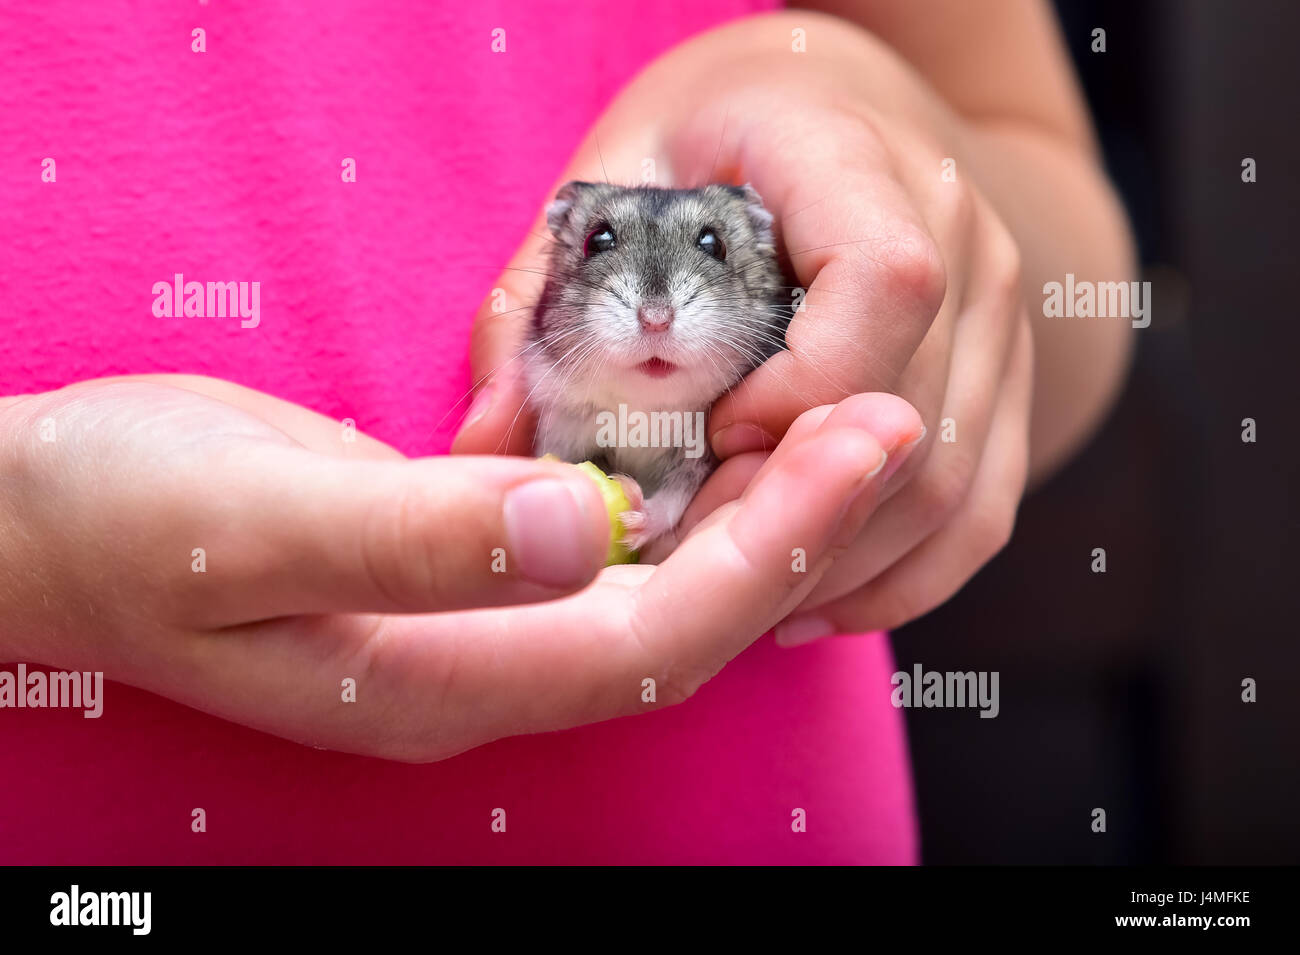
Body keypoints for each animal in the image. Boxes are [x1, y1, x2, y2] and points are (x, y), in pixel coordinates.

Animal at [525, 182, 791, 556]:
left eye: (713, 244)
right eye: (597, 240)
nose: (655, 320)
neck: (645, 404)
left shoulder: (699, 455)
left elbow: (675, 496)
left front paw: (634, 512)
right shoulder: (563, 425)